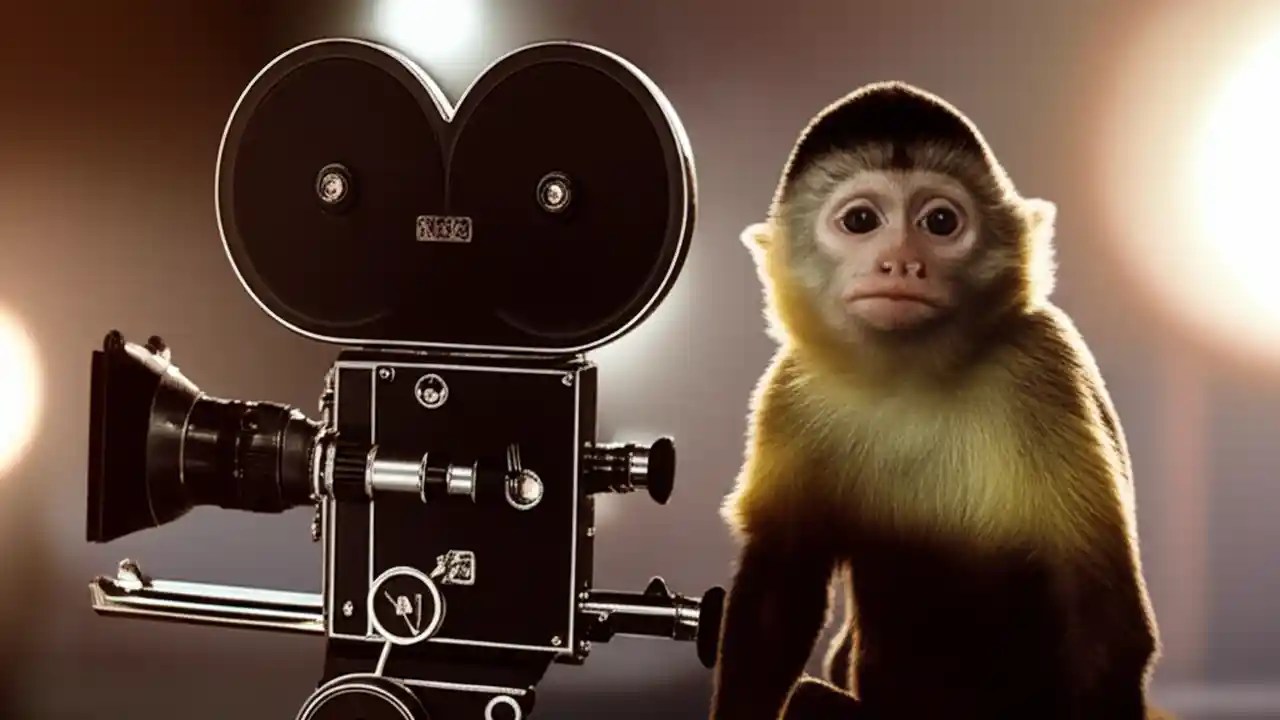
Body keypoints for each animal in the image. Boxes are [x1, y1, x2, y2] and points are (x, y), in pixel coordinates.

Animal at [708, 81, 1172, 720]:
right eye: (860, 220)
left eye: (941, 221)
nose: (903, 262)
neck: (911, 380)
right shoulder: (788, 391)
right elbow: (780, 591)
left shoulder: (1043, 363)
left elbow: (1105, 630)